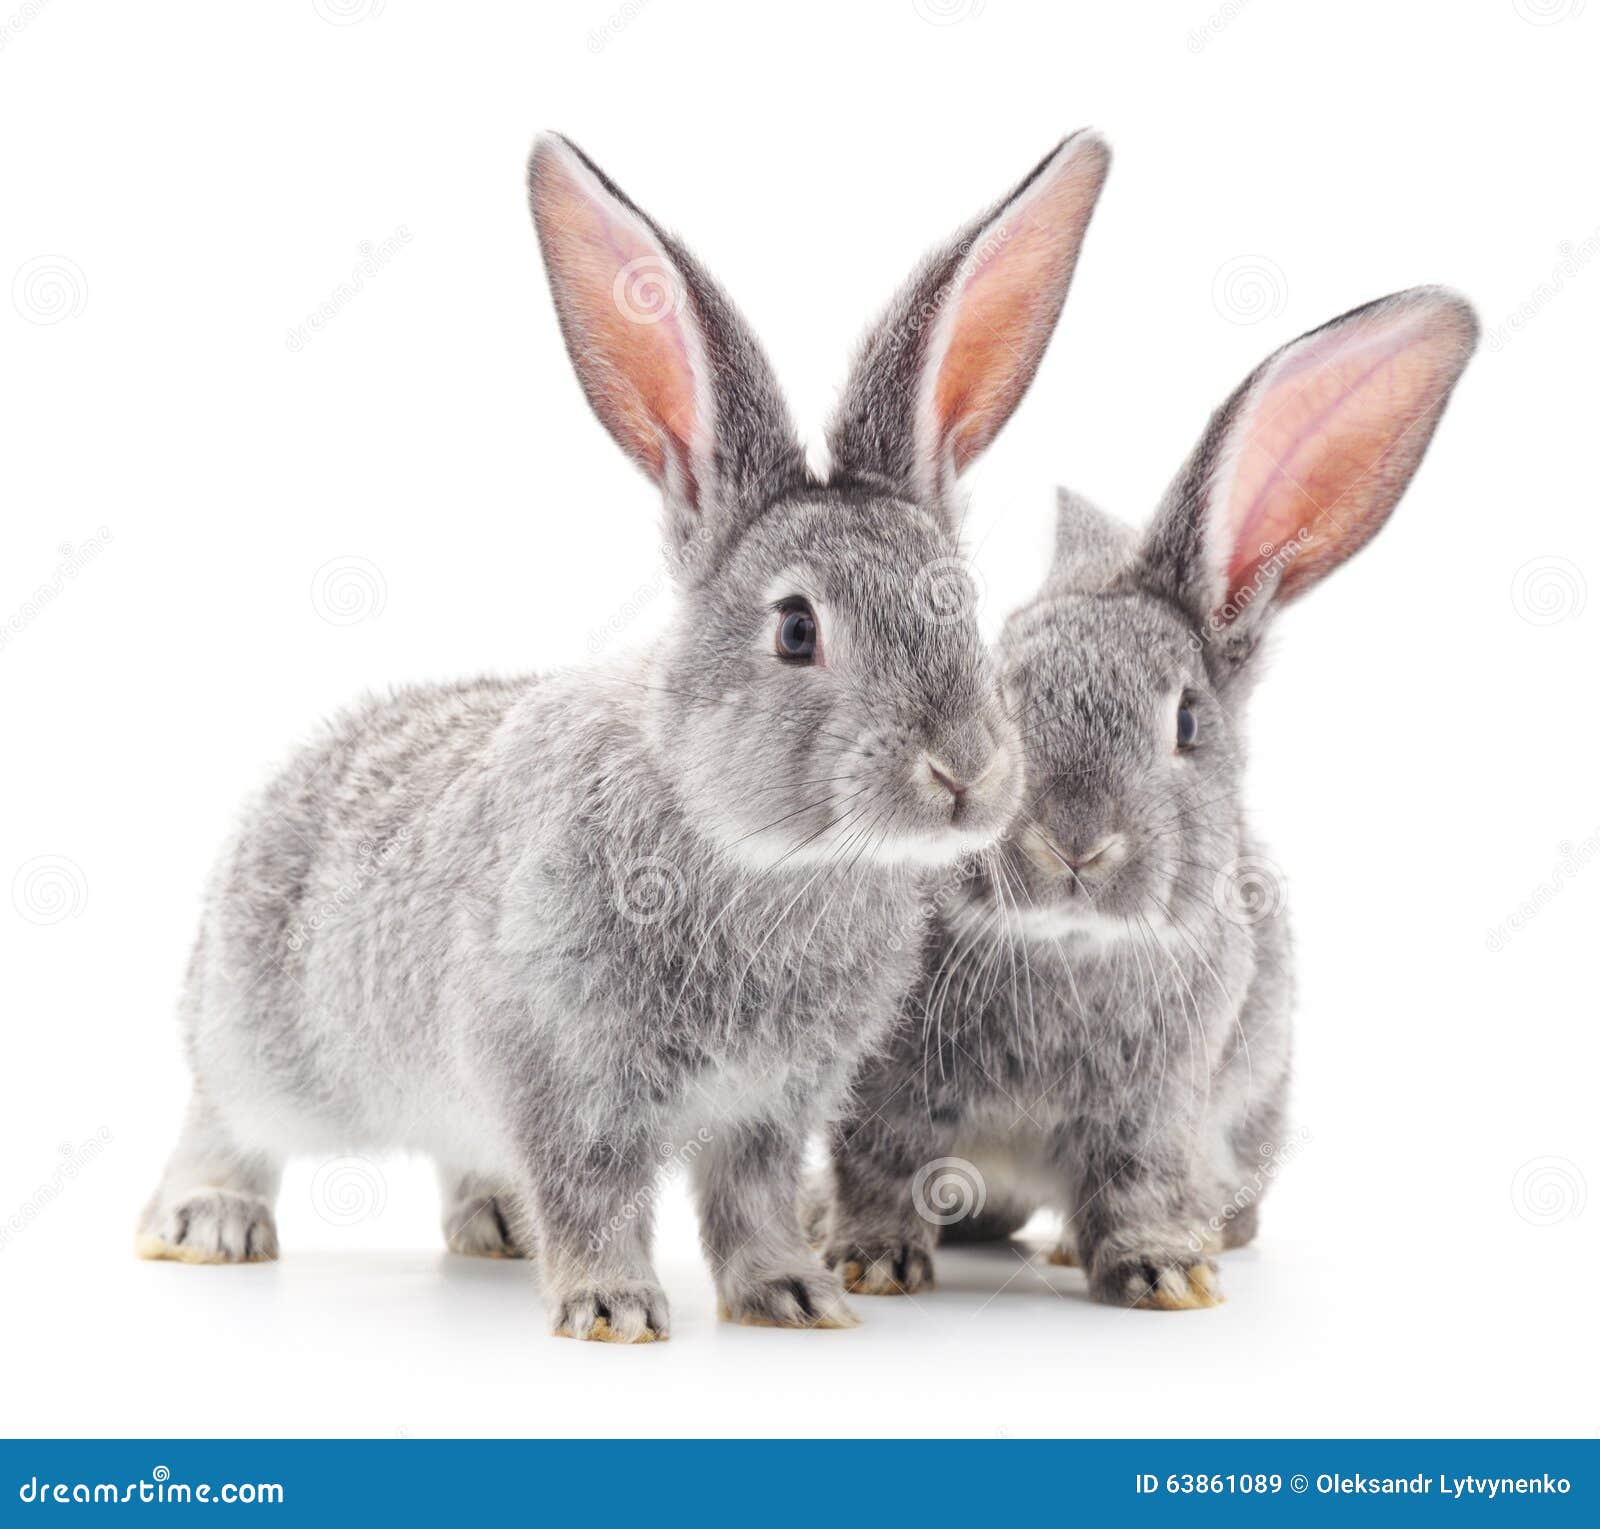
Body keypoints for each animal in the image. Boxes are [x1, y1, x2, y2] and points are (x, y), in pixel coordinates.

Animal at [135, 129, 1113, 1341]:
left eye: (964, 607)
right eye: (796, 629)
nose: (967, 771)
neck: (758, 849)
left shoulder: (767, 1106)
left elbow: (748, 1200)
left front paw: (794, 1294)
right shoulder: (562, 1069)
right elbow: (592, 1187)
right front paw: (611, 1307)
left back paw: (495, 1226)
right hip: (268, 1040)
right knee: (223, 1111)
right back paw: (208, 1219)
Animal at [812, 287, 1478, 1310]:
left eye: (1188, 722)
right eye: (1000, 691)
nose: (1075, 844)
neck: (1067, 948)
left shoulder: (1158, 1111)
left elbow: (1136, 1187)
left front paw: (1162, 1273)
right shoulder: (886, 1093)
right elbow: (879, 1166)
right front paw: (871, 1258)